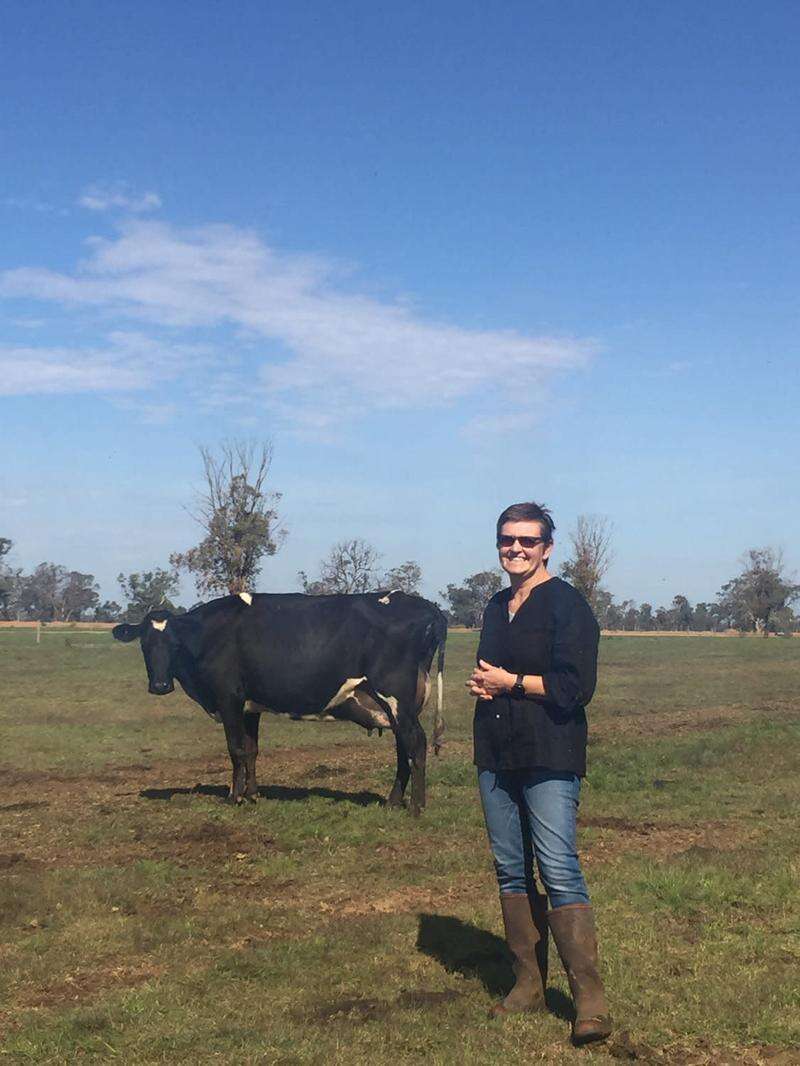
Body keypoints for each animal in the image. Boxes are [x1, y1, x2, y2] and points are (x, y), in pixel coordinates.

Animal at [112, 589, 447, 816]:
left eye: (174, 644)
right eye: (145, 644)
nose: (160, 686)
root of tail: (427, 607)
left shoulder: (228, 698)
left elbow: (235, 750)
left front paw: (234, 797)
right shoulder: (249, 705)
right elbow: (251, 750)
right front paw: (252, 794)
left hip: (396, 697)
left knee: (416, 744)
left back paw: (416, 807)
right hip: (399, 706)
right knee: (403, 748)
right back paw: (392, 802)